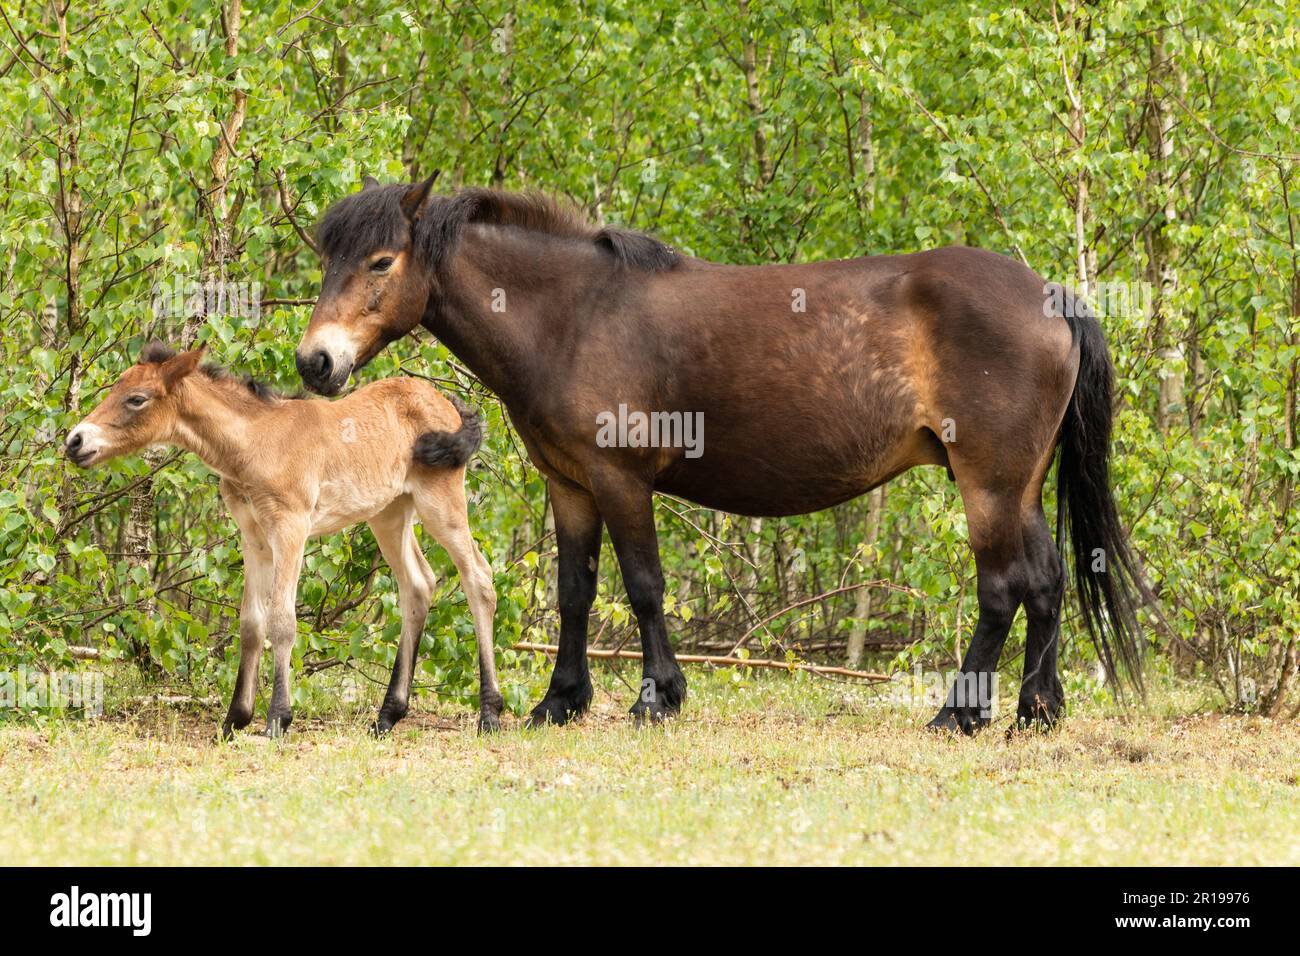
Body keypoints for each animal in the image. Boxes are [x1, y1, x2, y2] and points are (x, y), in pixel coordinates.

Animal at [64, 341, 500, 737]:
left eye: (137, 399)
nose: (74, 441)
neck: (256, 443)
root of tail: (444, 402)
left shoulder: (290, 528)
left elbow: (282, 621)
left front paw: (277, 719)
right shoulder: (253, 536)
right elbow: (250, 623)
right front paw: (234, 720)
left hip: (439, 502)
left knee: (478, 578)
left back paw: (490, 713)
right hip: (389, 513)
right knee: (418, 585)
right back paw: (388, 716)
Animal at [295, 175, 1154, 734]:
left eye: (380, 262)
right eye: (329, 261)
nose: (315, 362)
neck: (574, 315)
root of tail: (1053, 297)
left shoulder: (620, 480)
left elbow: (643, 587)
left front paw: (656, 698)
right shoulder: (569, 485)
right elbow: (576, 591)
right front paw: (559, 701)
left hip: (988, 483)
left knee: (1003, 588)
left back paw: (958, 712)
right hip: (1020, 485)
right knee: (1046, 583)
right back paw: (1036, 711)